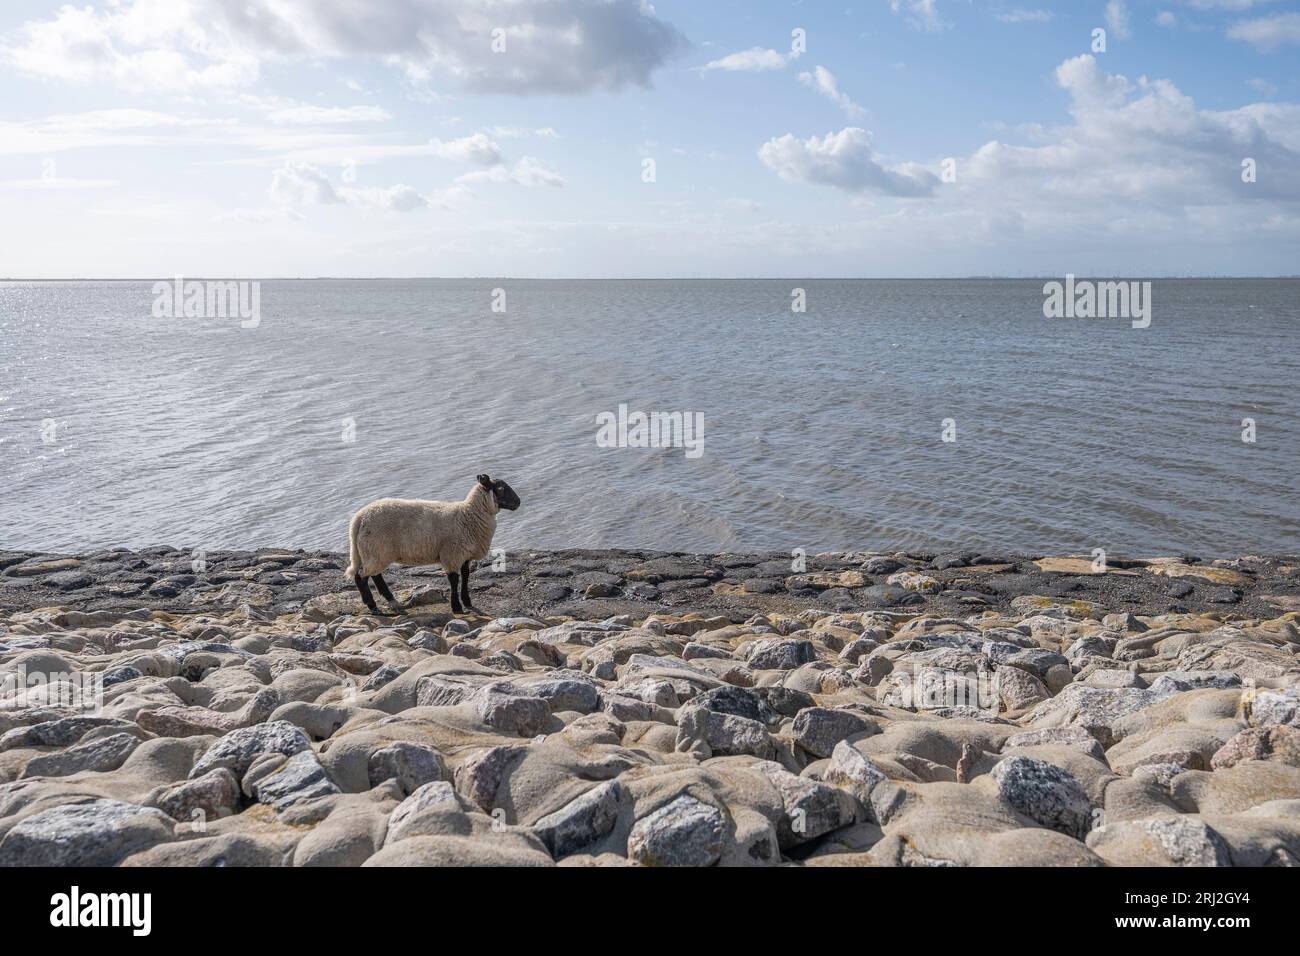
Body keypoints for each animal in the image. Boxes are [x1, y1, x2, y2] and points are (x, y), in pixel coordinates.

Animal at [344, 474, 521, 616]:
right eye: (500, 488)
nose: (518, 502)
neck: (469, 514)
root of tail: (359, 518)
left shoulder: (464, 554)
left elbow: (465, 576)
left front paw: (467, 602)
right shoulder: (451, 553)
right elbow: (454, 580)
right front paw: (456, 607)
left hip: (376, 552)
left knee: (375, 575)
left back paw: (392, 601)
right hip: (376, 549)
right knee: (361, 577)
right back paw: (373, 606)